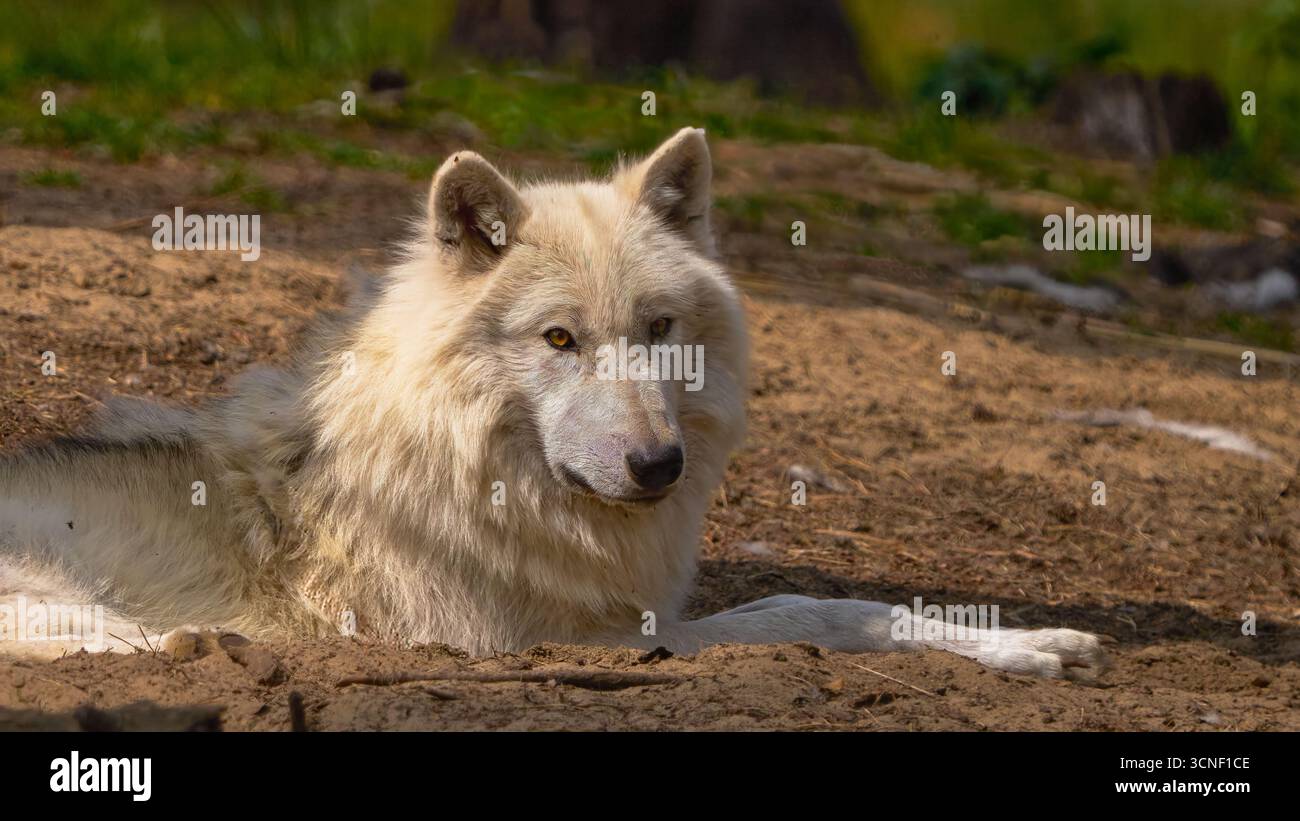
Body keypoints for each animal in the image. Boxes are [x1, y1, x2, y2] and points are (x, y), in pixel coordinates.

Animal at [0, 128, 1105, 679]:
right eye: (559, 339)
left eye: (658, 328)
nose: (658, 465)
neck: (479, 476)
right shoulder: (574, 640)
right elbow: (805, 610)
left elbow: (840, 603)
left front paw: (1026, 642)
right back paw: (208, 643)